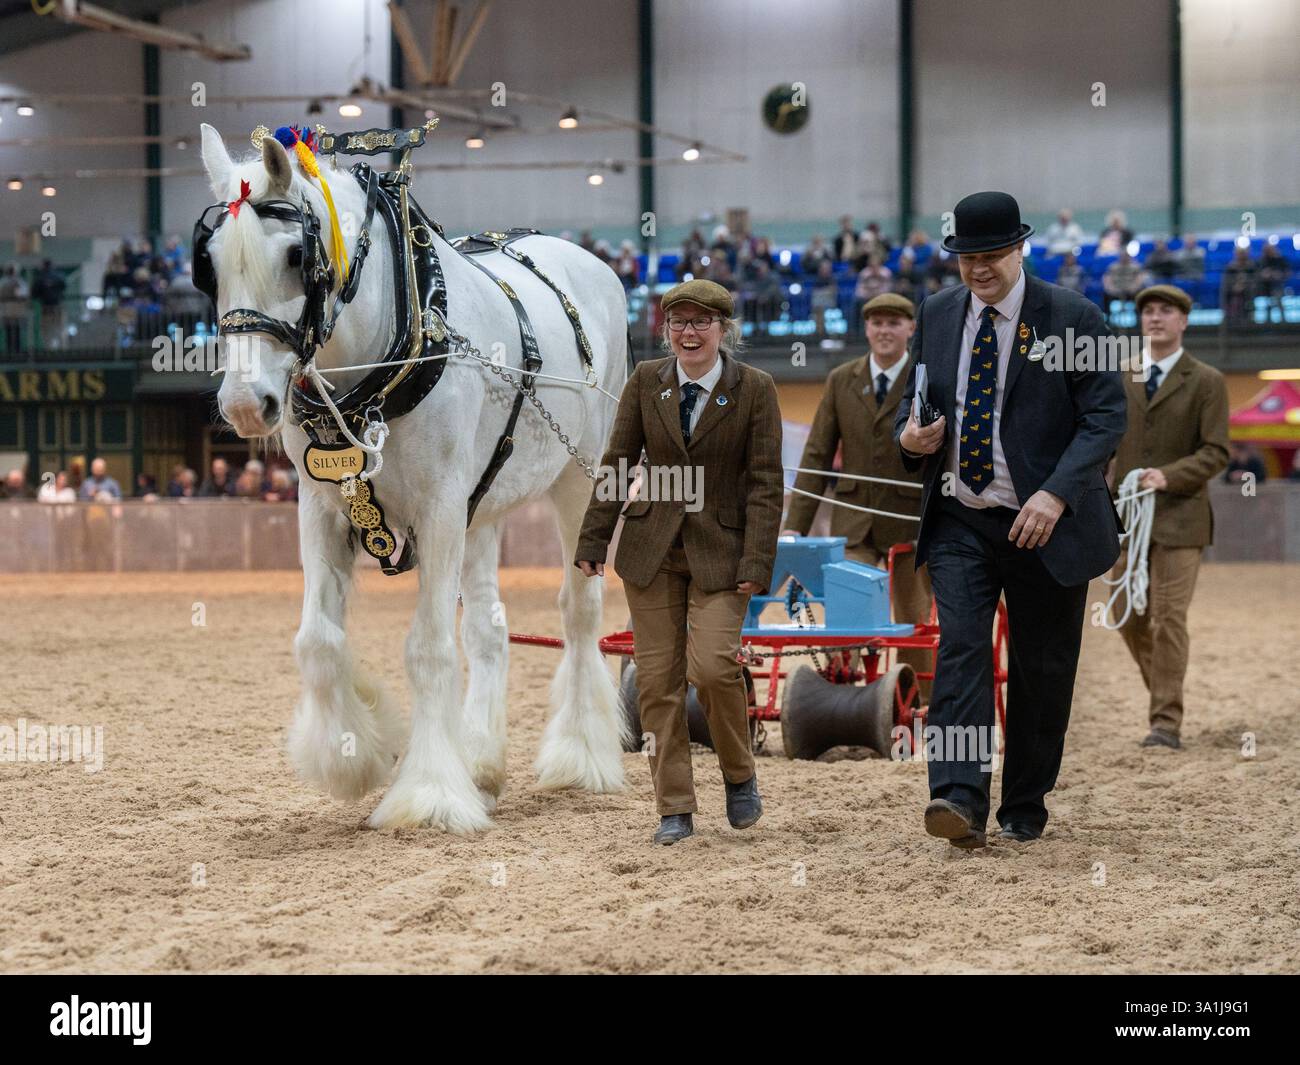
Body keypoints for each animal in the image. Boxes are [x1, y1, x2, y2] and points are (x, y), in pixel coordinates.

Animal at [198, 122, 630, 832]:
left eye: (294, 255)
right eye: (209, 264)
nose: (243, 404)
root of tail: (587, 262)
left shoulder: (439, 508)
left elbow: (428, 648)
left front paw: (429, 794)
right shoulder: (325, 507)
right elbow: (318, 641)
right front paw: (353, 757)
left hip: (578, 478)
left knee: (579, 612)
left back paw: (582, 755)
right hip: (485, 505)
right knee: (488, 628)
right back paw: (480, 761)